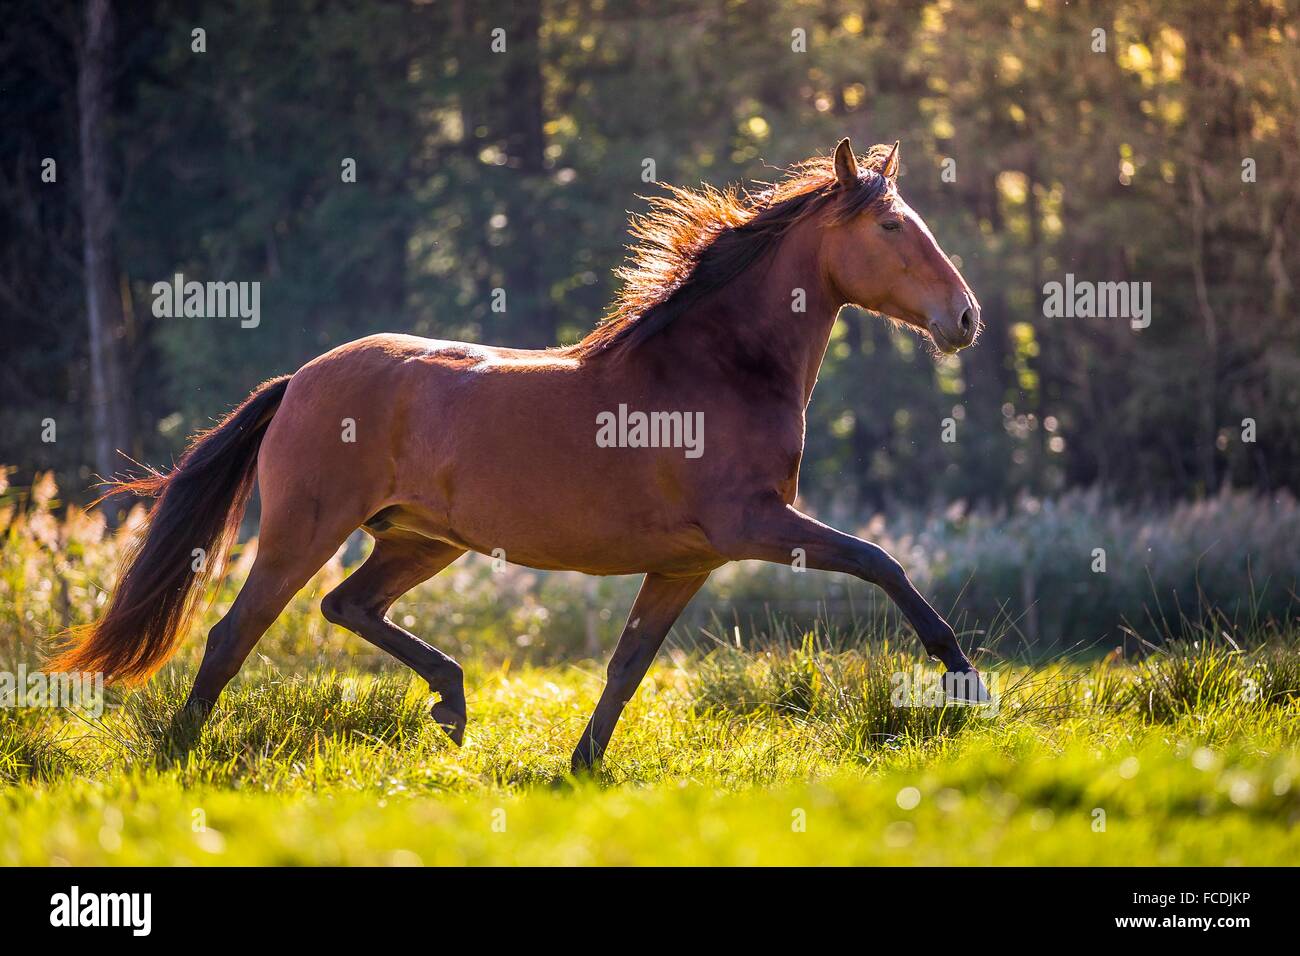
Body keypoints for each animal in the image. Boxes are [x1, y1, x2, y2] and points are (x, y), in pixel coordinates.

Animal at [52, 137, 986, 771]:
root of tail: (299, 379)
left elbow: (626, 666)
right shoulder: (755, 524)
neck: (714, 368)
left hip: (420, 540)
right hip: (302, 533)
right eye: (894, 225)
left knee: (348, 606)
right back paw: (179, 754)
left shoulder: (687, 561)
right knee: (232, 635)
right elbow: (882, 562)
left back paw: (453, 702)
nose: (966, 319)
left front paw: (581, 768)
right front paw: (965, 681)